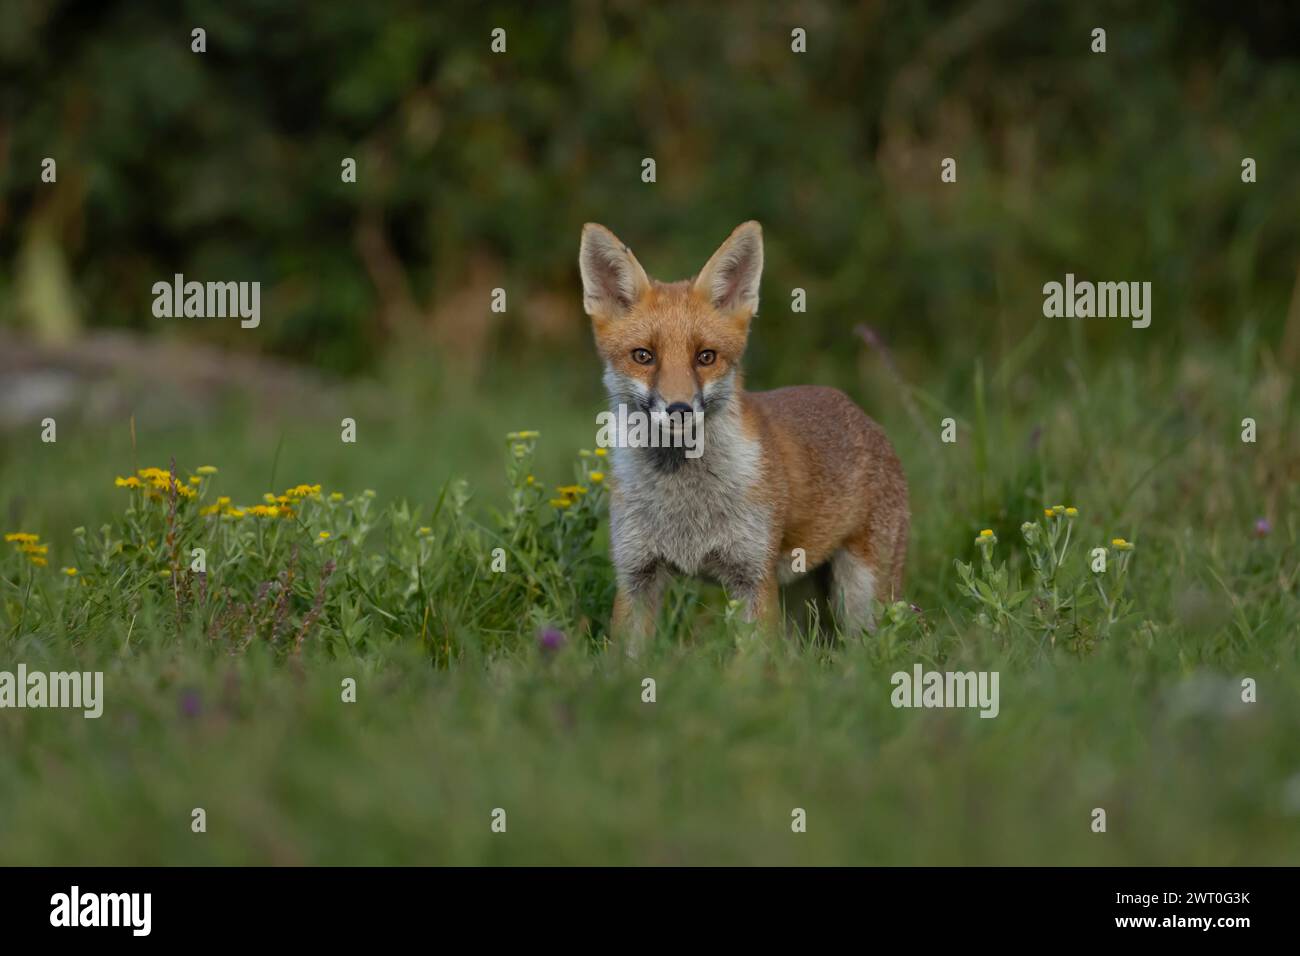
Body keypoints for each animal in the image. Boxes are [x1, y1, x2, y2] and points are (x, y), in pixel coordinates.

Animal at [578, 220, 909, 656]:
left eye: (706, 356)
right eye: (643, 356)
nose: (679, 409)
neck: (684, 504)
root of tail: (861, 412)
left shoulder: (753, 575)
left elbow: (751, 666)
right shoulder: (636, 573)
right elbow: (627, 659)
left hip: (862, 596)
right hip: (801, 599)